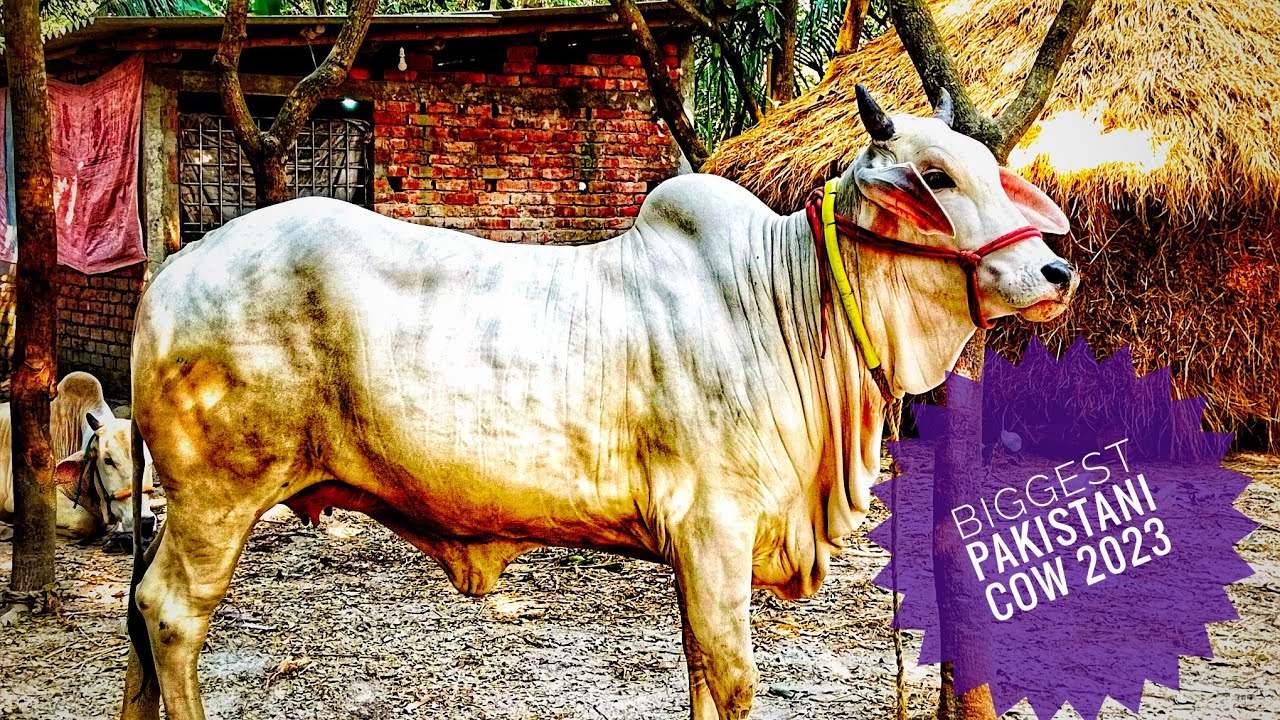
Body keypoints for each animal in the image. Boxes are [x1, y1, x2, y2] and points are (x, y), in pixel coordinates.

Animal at [121, 88, 1076, 720]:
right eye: (937, 177)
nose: (1056, 270)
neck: (786, 302)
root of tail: (177, 265)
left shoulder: (702, 555)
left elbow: (699, 672)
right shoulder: (714, 528)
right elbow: (733, 678)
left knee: (137, 616)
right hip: (219, 495)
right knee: (172, 616)